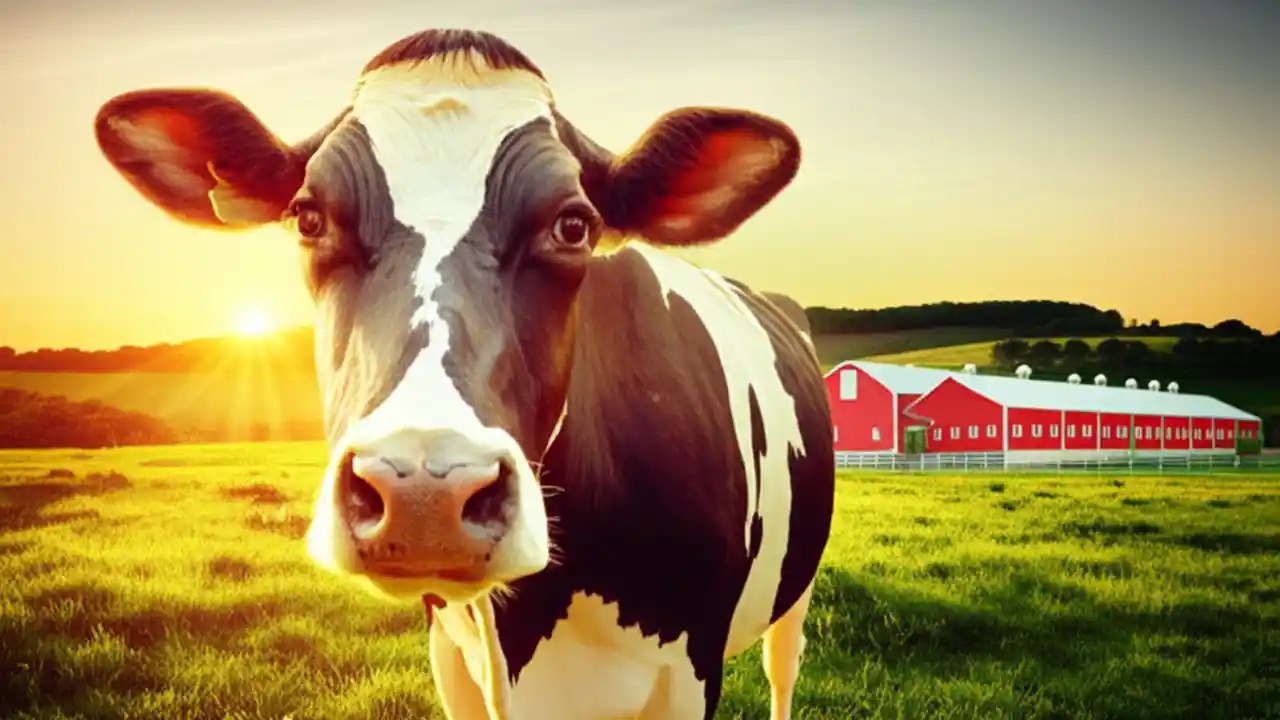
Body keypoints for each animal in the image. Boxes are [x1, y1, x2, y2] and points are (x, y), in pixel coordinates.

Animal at [93, 29, 835, 720]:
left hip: (793, 597)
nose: (424, 494)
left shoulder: (687, 673)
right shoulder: (454, 654)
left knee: (782, 669)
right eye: (308, 217)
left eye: (574, 225)